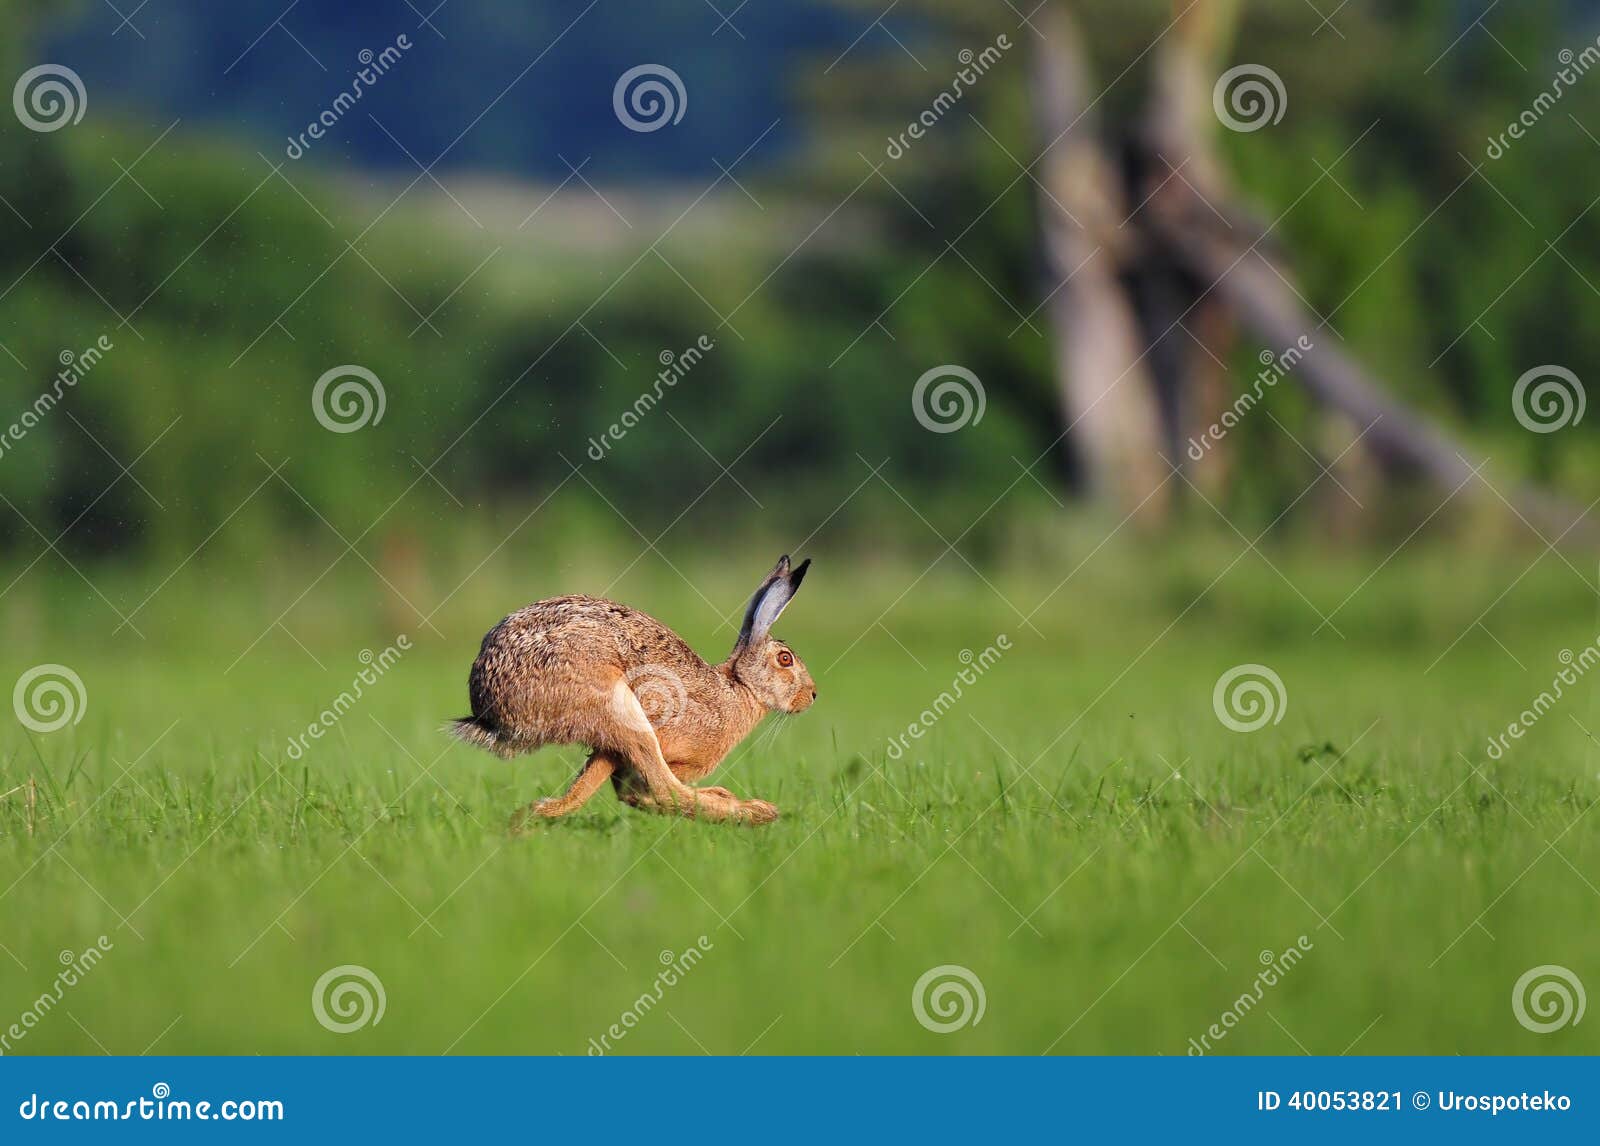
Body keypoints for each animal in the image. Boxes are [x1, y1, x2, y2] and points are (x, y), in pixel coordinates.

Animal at [448, 555, 815, 828]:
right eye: (785, 659)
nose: (812, 695)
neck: (738, 687)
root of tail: (488, 707)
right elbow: (648, 790)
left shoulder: (612, 754)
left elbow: (621, 790)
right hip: (620, 709)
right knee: (666, 788)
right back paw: (758, 811)